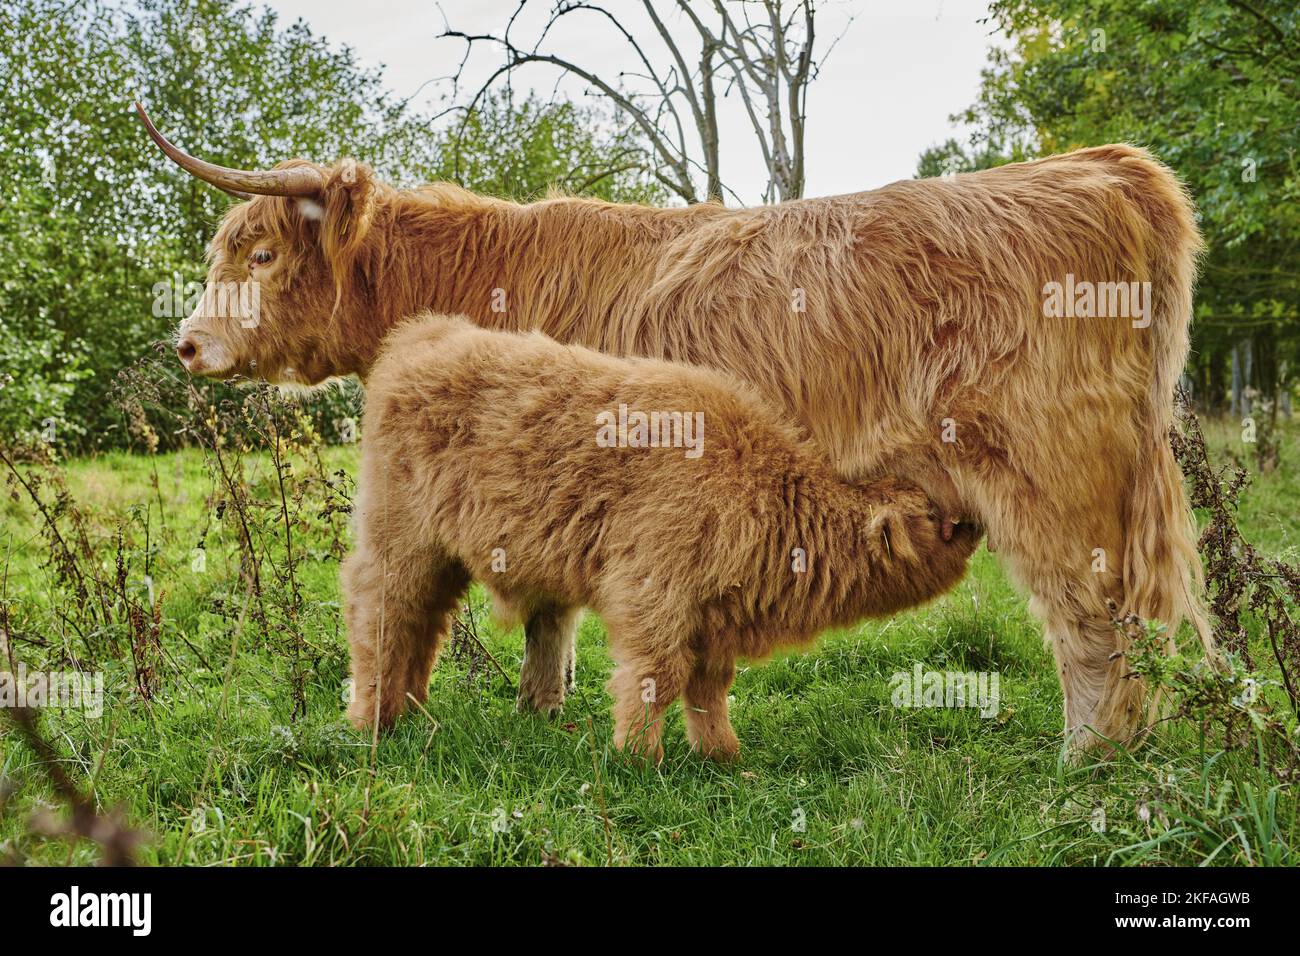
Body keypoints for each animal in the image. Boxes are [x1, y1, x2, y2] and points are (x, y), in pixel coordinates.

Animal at [137, 103, 1213, 753]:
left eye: (260, 252)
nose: (187, 344)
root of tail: (1107, 170)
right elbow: (552, 610)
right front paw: (543, 708)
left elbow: (551, 611)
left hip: (1051, 481)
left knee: (1093, 624)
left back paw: (1085, 761)